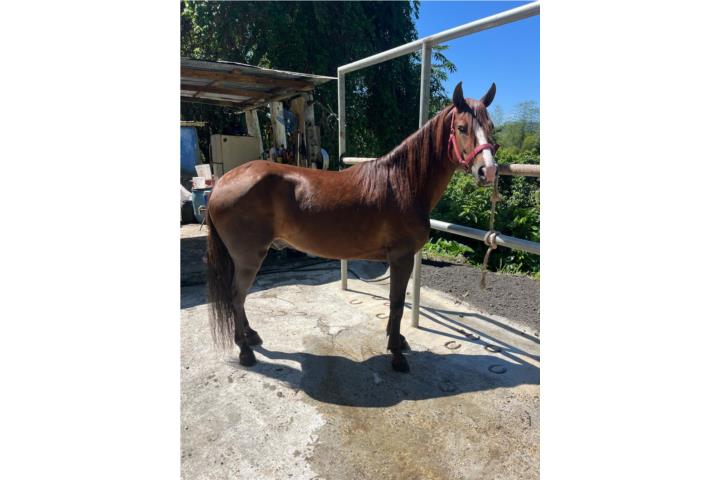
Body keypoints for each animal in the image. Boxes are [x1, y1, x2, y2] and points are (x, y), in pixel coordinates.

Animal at [205, 81, 499, 373]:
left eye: (491, 126)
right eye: (461, 128)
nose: (489, 171)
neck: (404, 183)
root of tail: (222, 183)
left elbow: (395, 302)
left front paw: (397, 340)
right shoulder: (401, 258)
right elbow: (396, 303)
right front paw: (396, 353)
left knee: (240, 297)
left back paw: (251, 336)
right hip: (248, 258)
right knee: (237, 296)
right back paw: (245, 350)